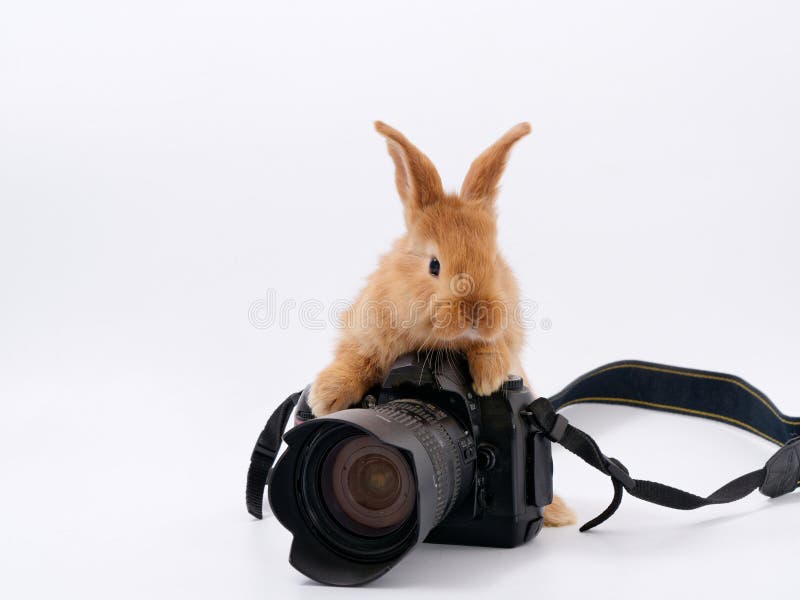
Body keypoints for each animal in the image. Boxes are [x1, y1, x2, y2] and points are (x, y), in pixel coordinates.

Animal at [307, 121, 575, 527]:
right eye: (434, 265)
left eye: (493, 261)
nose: (477, 313)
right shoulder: (367, 334)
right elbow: (355, 360)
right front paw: (324, 397)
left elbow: (495, 346)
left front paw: (489, 377)